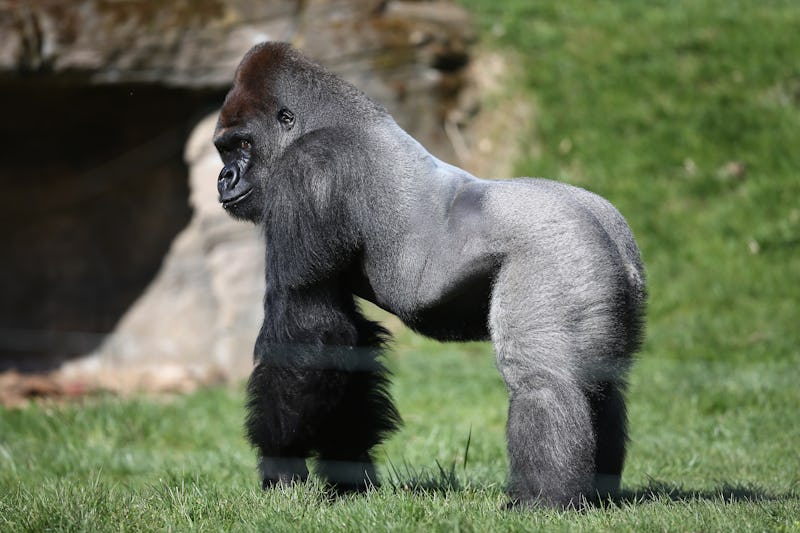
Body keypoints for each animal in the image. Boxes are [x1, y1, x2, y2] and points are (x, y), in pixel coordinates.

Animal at [213, 42, 646, 508]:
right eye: (223, 149)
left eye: (242, 143)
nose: (224, 178)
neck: (328, 120)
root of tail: (608, 227)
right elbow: (345, 339)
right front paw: (349, 477)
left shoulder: (308, 174)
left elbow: (309, 325)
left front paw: (280, 462)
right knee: (602, 387)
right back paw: (597, 495)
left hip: (559, 254)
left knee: (543, 382)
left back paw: (543, 500)